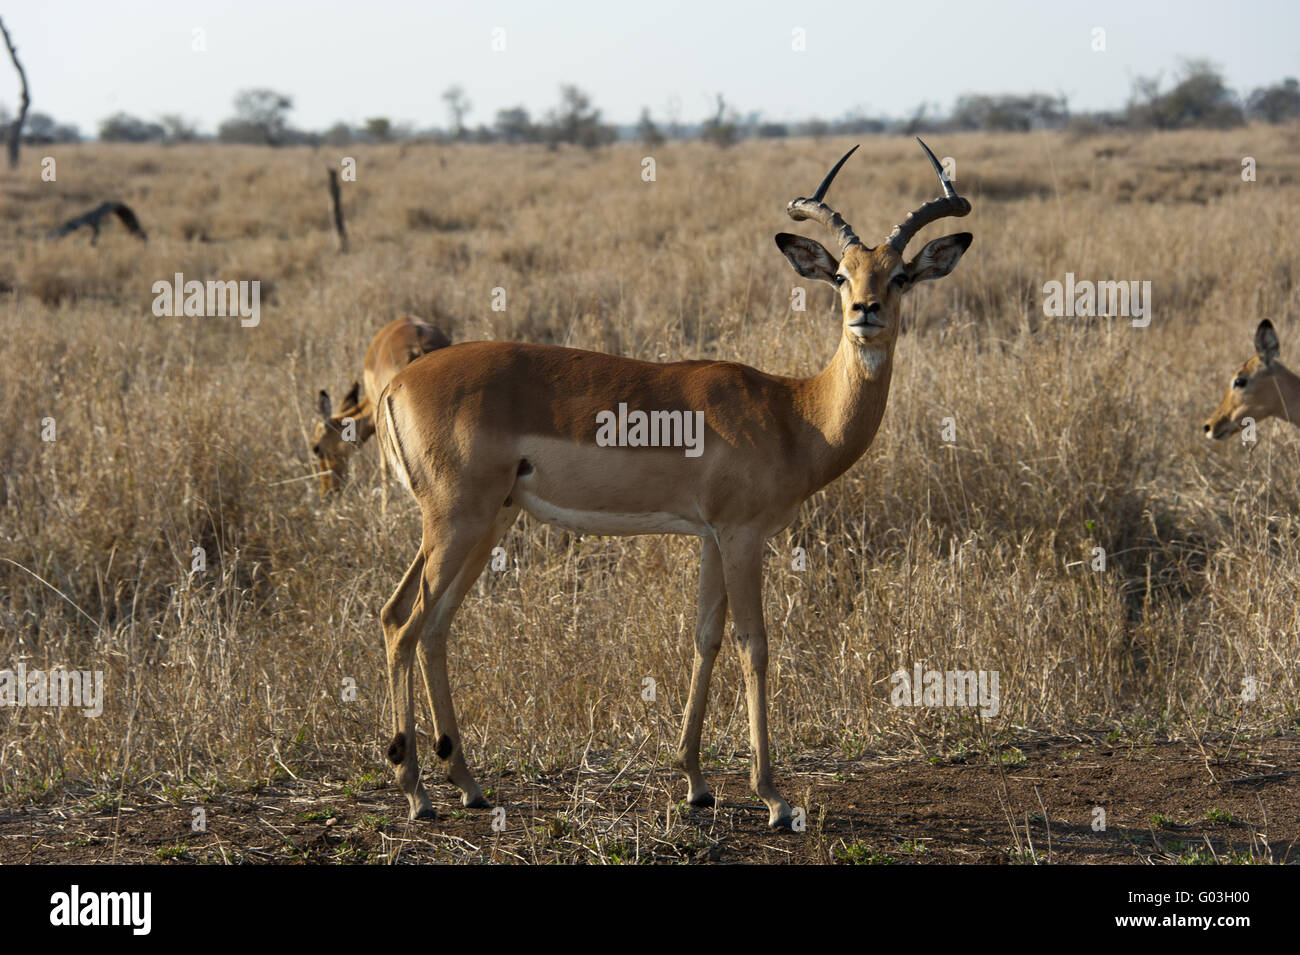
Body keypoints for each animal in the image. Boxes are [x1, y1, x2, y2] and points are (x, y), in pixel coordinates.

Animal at [373, 141, 972, 827]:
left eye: (898, 275)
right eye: (842, 274)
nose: (864, 313)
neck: (795, 413)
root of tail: (397, 383)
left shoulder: (711, 537)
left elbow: (704, 638)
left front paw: (695, 781)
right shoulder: (742, 535)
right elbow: (753, 643)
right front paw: (772, 796)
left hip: (485, 521)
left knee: (424, 622)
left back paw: (468, 784)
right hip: (457, 520)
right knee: (405, 624)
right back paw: (417, 793)